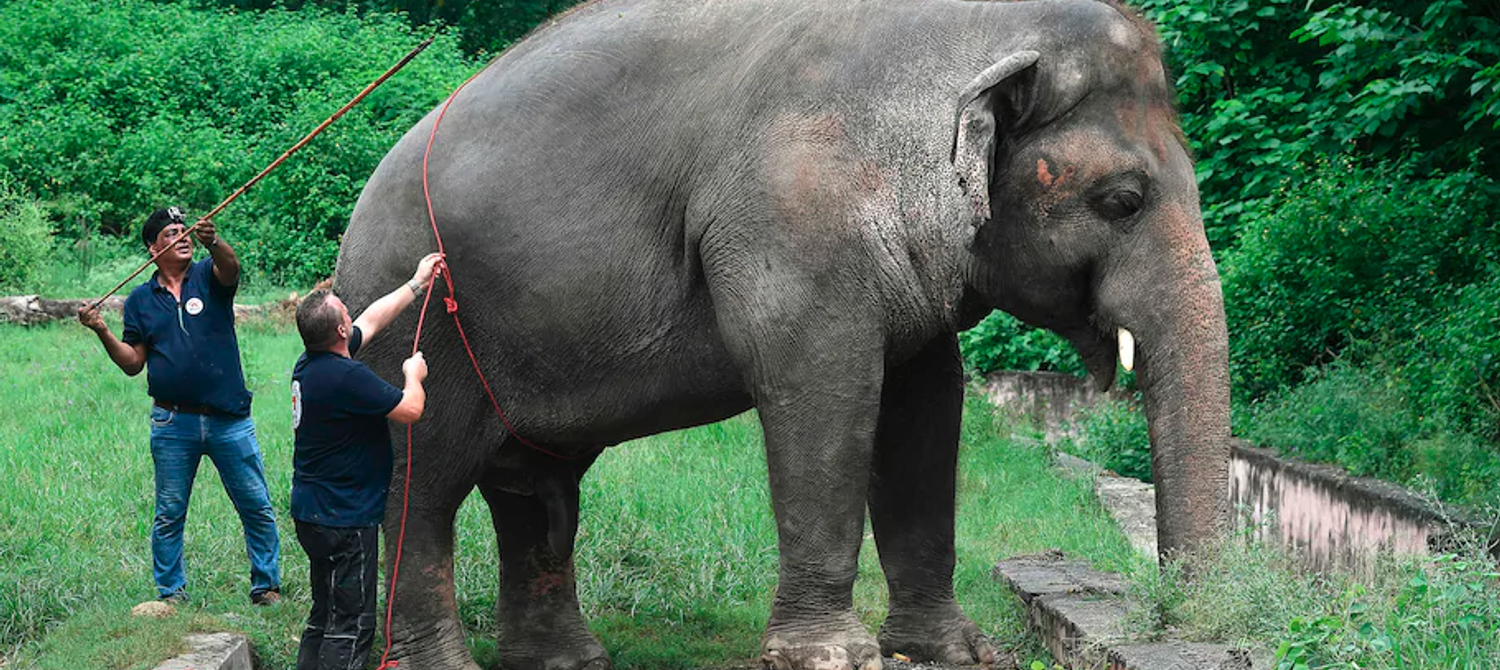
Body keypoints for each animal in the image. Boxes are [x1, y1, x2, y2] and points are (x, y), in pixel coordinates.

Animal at [333, 0, 1231, 669]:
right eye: (1122, 201)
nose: (1177, 618)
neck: (963, 30)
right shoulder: (791, 219)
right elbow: (824, 387)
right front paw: (831, 656)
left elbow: (925, 410)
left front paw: (951, 651)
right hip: (412, 328)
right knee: (424, 485)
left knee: (537, 490)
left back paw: (565, 661)